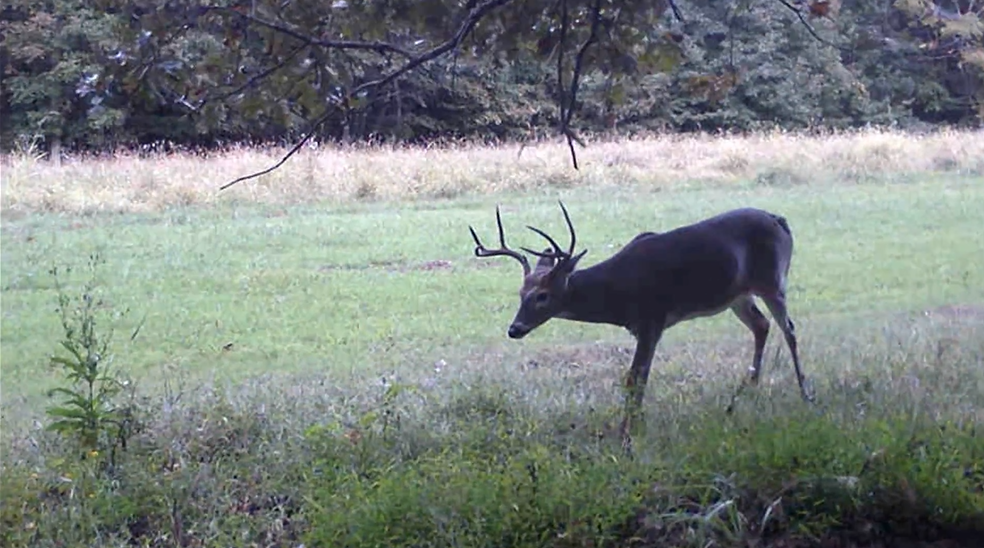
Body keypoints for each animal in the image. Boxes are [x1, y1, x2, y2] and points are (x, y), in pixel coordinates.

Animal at [468, 201, 814, 448]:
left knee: (789, 329)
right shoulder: (641, 326)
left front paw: (627, 434)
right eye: (520, 293)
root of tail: (779, 219)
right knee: (761, 325)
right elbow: (637, 378)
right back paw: (743, 395)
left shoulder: (653, 319)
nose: (515, 329)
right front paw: (636, 425)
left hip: (772, 279)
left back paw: (805, 394)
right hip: (737, 295)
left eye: (542, 296)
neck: (618, 293)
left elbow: (635, 378)